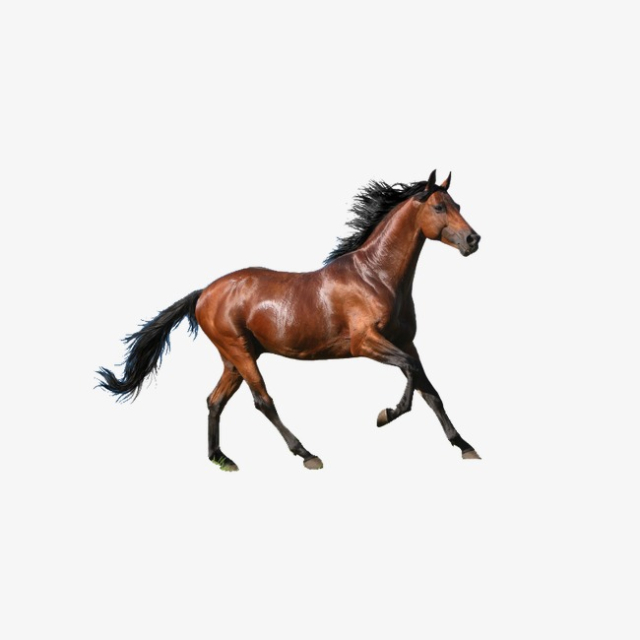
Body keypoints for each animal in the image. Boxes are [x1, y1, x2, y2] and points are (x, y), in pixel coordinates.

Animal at [97, 169, 482, 470]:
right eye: (439, 206)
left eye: (458, 206)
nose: (473, 239)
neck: (376, 276)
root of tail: (204, 292)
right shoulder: (366, 343)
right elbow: (412, 376)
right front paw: (386, 414)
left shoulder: (405, 341)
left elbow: (430, 390)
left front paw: (465, 446)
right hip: (240, 352)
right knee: (262, 400)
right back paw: (306, 453)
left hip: (234, 358)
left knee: (215, 400)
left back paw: (221, 458)